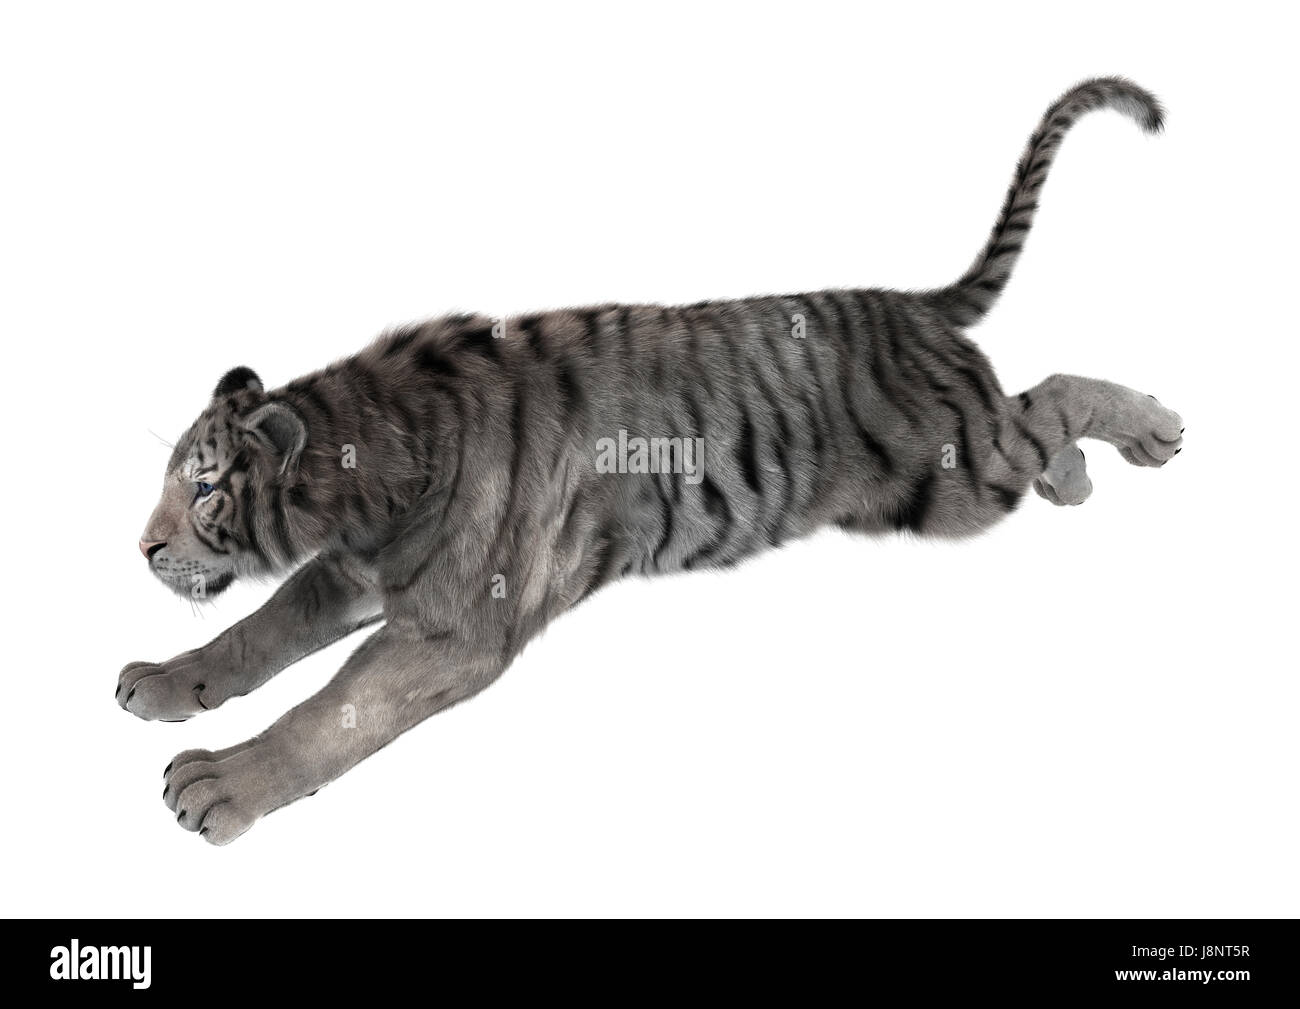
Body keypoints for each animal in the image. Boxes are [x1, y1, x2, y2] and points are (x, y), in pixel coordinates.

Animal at [121, 77, 1183, 844]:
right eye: (173, 480)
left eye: (204, 487)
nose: (142, 548)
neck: (364, 472)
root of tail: (907, 302)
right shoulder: (348, 574)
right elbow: (252, 634)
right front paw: (165, 681)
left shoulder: (450, 629)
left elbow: (329, 714)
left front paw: (218, 784)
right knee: (1029, 409)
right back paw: (1080, 473)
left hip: (953, 476)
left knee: (1046, 399)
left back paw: (1147, 433)